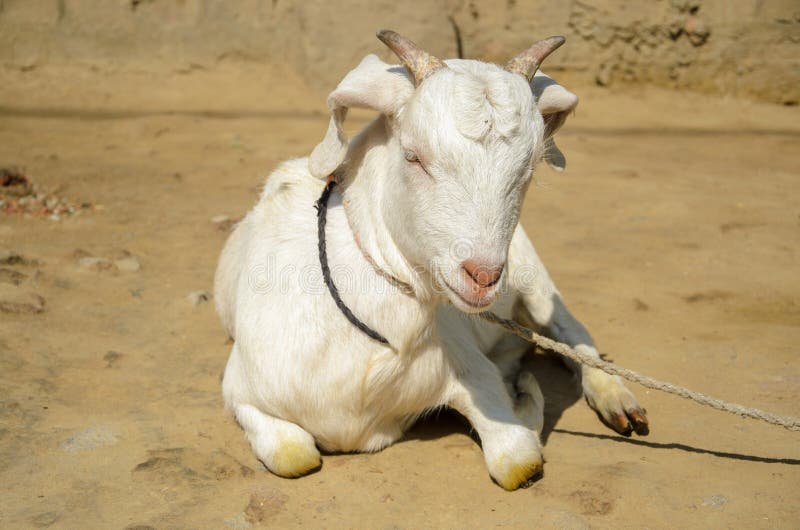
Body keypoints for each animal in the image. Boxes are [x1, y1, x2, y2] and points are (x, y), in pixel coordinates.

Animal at [214, 30, 648, 490]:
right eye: (413, 156)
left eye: (529, 169)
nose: (483, 276)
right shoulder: (242, 390)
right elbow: (294, 457)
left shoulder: (472, 372)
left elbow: (519, 462)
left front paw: (524, 393)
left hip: (531, 274)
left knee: (569, 329)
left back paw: (616, 398)